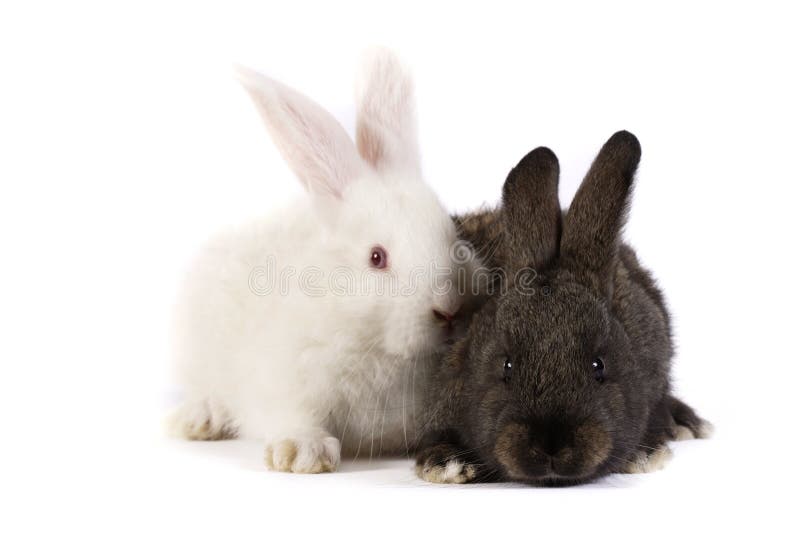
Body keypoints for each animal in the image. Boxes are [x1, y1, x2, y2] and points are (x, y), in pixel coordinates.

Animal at [168, 50, 483, 474]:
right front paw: (303, 453)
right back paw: (200, 418)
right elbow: (295, 413)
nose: (449, 309)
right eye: (376, 257)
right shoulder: (287, 376)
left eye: (455, 240)